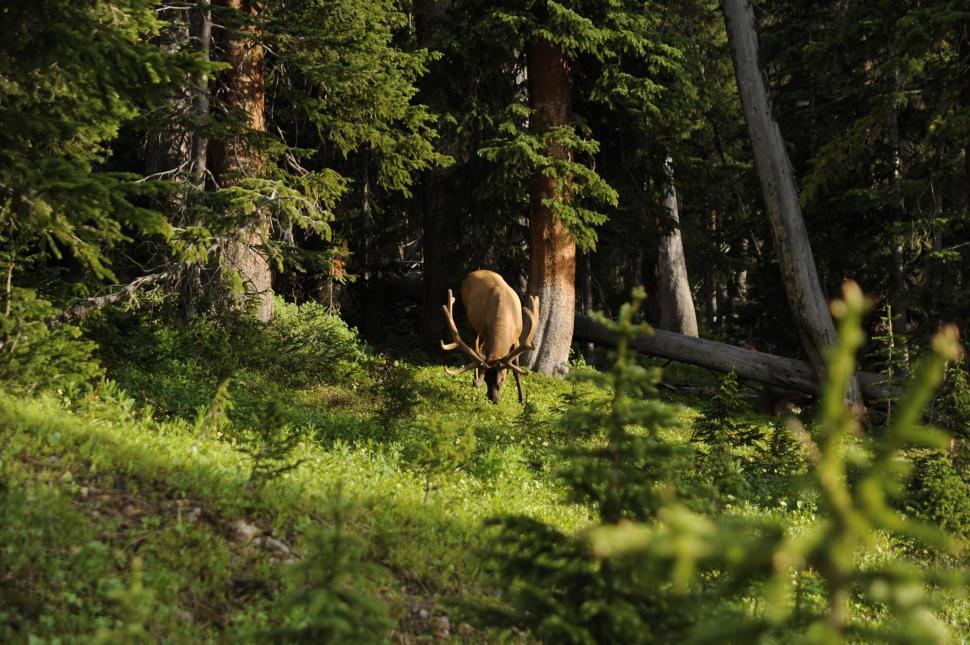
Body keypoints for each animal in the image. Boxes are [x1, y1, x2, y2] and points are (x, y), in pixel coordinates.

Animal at [440, 270, 540, 404]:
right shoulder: (486, 334)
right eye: (486, 379)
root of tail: (475, 271)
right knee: (475, 347)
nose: (494, 400)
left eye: (502, 379)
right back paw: (475, 381)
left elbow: (516, 370)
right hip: (469, 319)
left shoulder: (517, 339)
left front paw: (522, 399)